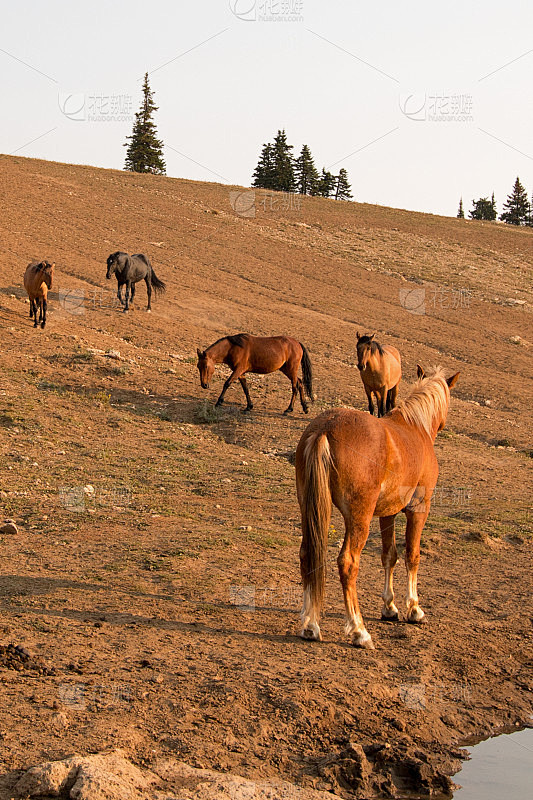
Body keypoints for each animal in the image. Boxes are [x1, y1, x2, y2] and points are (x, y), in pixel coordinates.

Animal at [295, 365, 460, 649]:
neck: (414, 427)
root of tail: (324, 429)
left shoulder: (388, 513)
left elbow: (389, 556)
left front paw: (389, 607)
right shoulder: (419, 509)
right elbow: (412, 555)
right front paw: (414, 609)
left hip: (309, 509)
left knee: (307, 555)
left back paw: (311, 625)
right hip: (359, 519)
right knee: (348, 563)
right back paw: (359, 631)